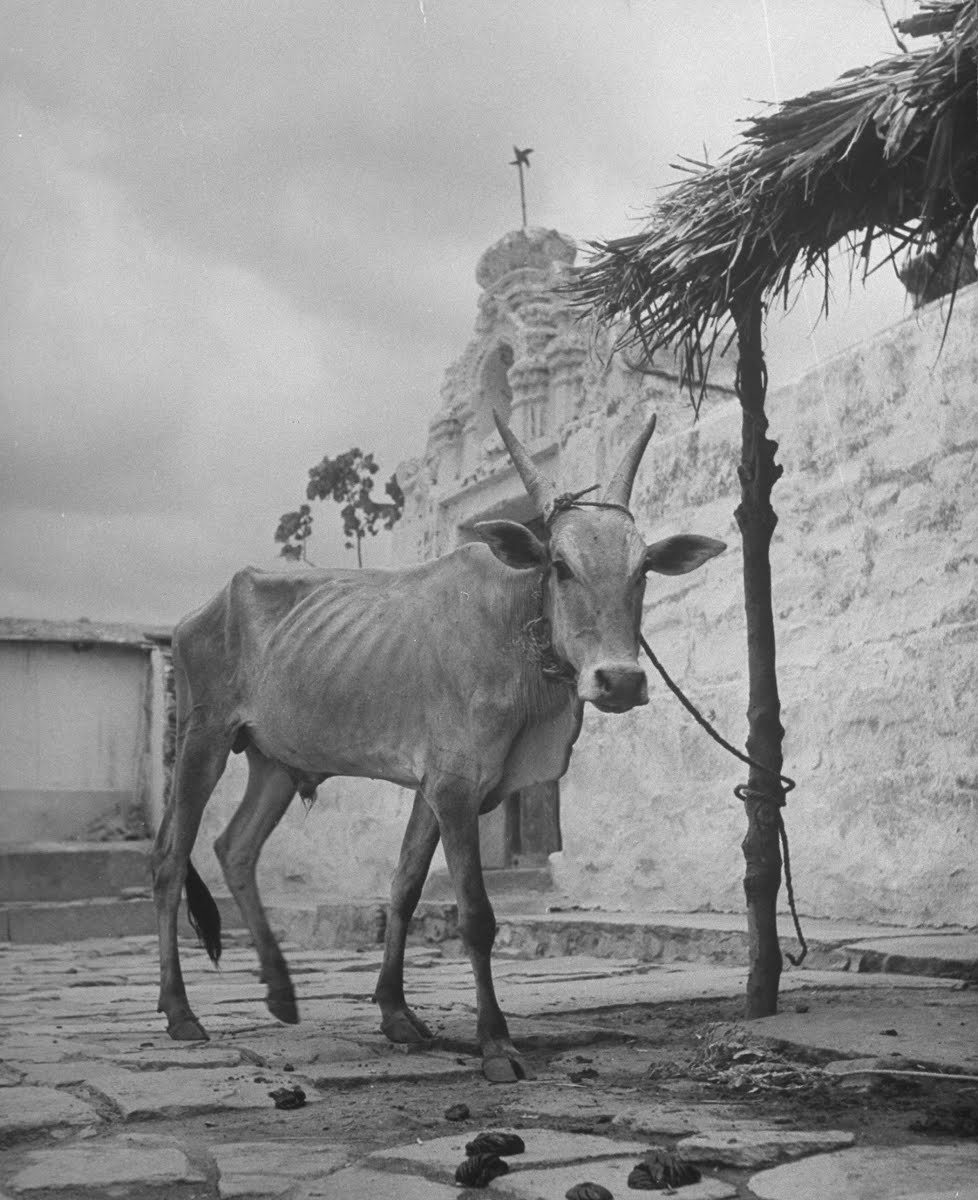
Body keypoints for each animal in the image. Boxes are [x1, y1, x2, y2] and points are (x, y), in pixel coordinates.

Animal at [151, 410, 725, 1082]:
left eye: (643, 571)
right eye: (559, 565)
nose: (621, 681)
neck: (515, 627)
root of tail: (197, 614)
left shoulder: (438, 789)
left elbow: (403, 888)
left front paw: (397, 1015)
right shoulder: (453, 788)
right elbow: (474, 915)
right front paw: (496, 1042)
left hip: (275, 761)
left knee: (235, 848)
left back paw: (281, 990)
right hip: (204, 738)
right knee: (170, 861)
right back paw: (180, 1012)